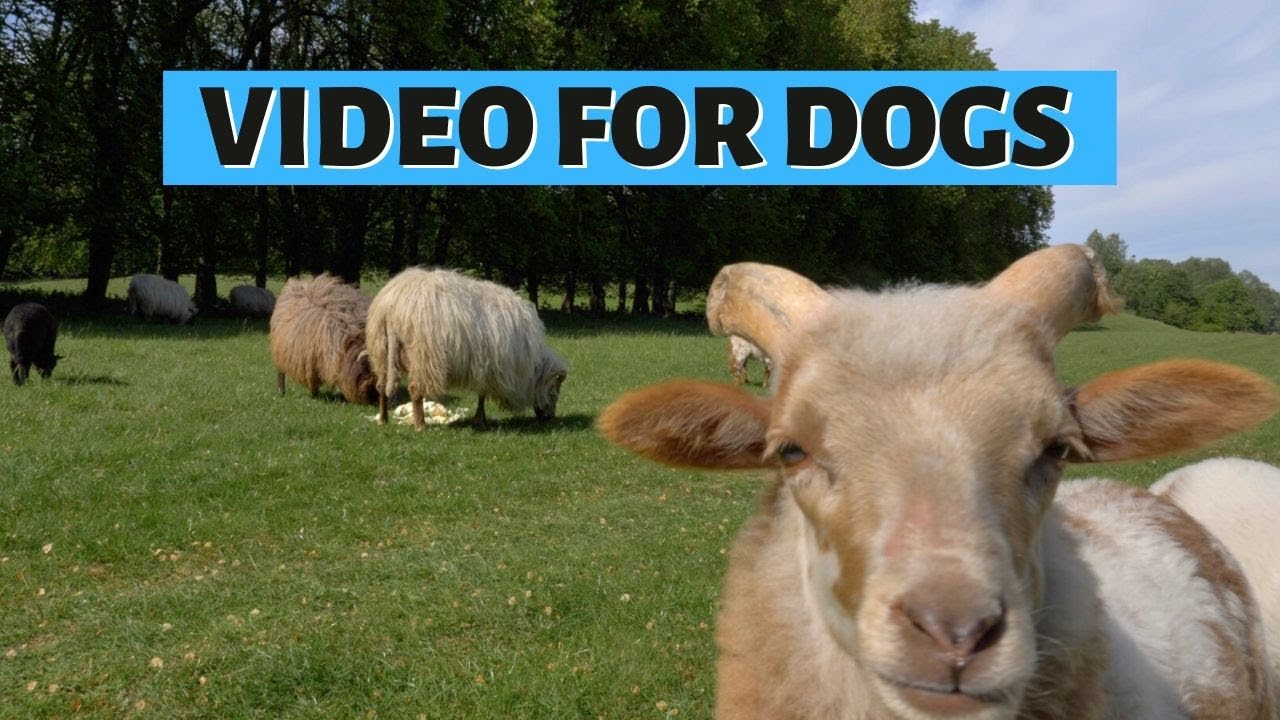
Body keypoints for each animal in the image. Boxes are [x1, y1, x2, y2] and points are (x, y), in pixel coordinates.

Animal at [269, 274, 377, 405]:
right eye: (366, 368)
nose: (373, 397)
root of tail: (297, 283)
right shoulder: (312, 358)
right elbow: (312, 378)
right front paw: (314, 393)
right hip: (281, 349)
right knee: (280, 372)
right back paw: (282, 391)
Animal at [366, 268, 567, 430]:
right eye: (555, 389)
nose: (550, 418)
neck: (530, 367)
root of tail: (392, 308)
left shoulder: (485, 369)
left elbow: (481, 393)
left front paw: (480, 419)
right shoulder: (491, 369)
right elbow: (482, 394)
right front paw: (481, 420)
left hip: (381, 351)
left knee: (381, 386)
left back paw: (383, 420)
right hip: (423, 356)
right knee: (415, 389)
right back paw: (420, 425)